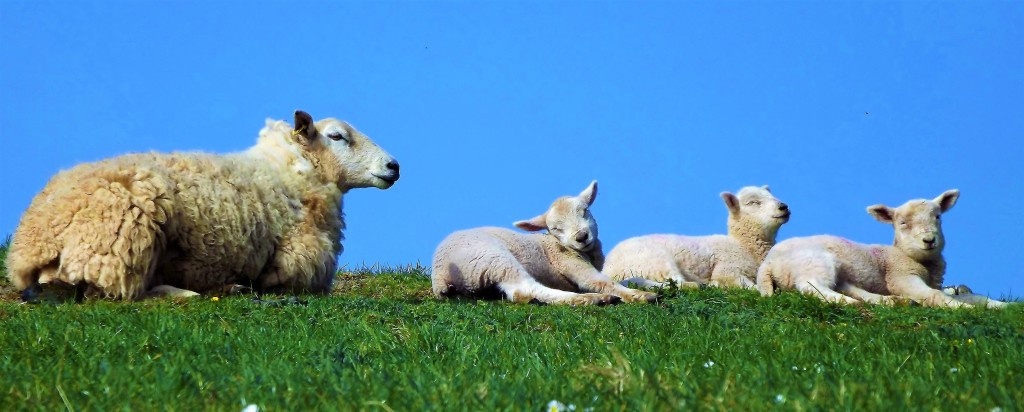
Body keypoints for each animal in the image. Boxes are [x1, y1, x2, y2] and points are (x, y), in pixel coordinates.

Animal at [6, 110, 400, 301]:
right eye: (337, 136)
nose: (393, 165)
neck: (290, 171)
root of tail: (33, 239)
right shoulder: (297, 263)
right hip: (119, 241)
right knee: (119, 291)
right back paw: (191, 292)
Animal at [431, 181, 658, 305]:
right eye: (556, 228)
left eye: (585, 211)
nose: (581, 237)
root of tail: (440, 275)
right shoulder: (570, 264)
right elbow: (604, 282)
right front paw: (640, 295)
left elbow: (629, 278)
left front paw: (655, 284)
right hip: (493, 259)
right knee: (524, 291)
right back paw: (591, 299)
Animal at [603, 186, 790, 289]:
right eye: (753, 203)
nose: (784, 207)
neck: (743, 246)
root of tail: (607, 268)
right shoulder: (728, 269)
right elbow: (750, 287)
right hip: (655, 262)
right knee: (676, 284)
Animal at [756, 189, 1007, 308]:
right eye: (902, 223)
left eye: (937, 217)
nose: (929, 240)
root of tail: (768, 264)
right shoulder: (901, 277)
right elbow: (935, 296)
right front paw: (963, 309)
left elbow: (977, 297)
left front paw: (1002, 306)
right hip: (815, 262)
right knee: (811, 287)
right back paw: (851, 303)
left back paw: (892, 301)